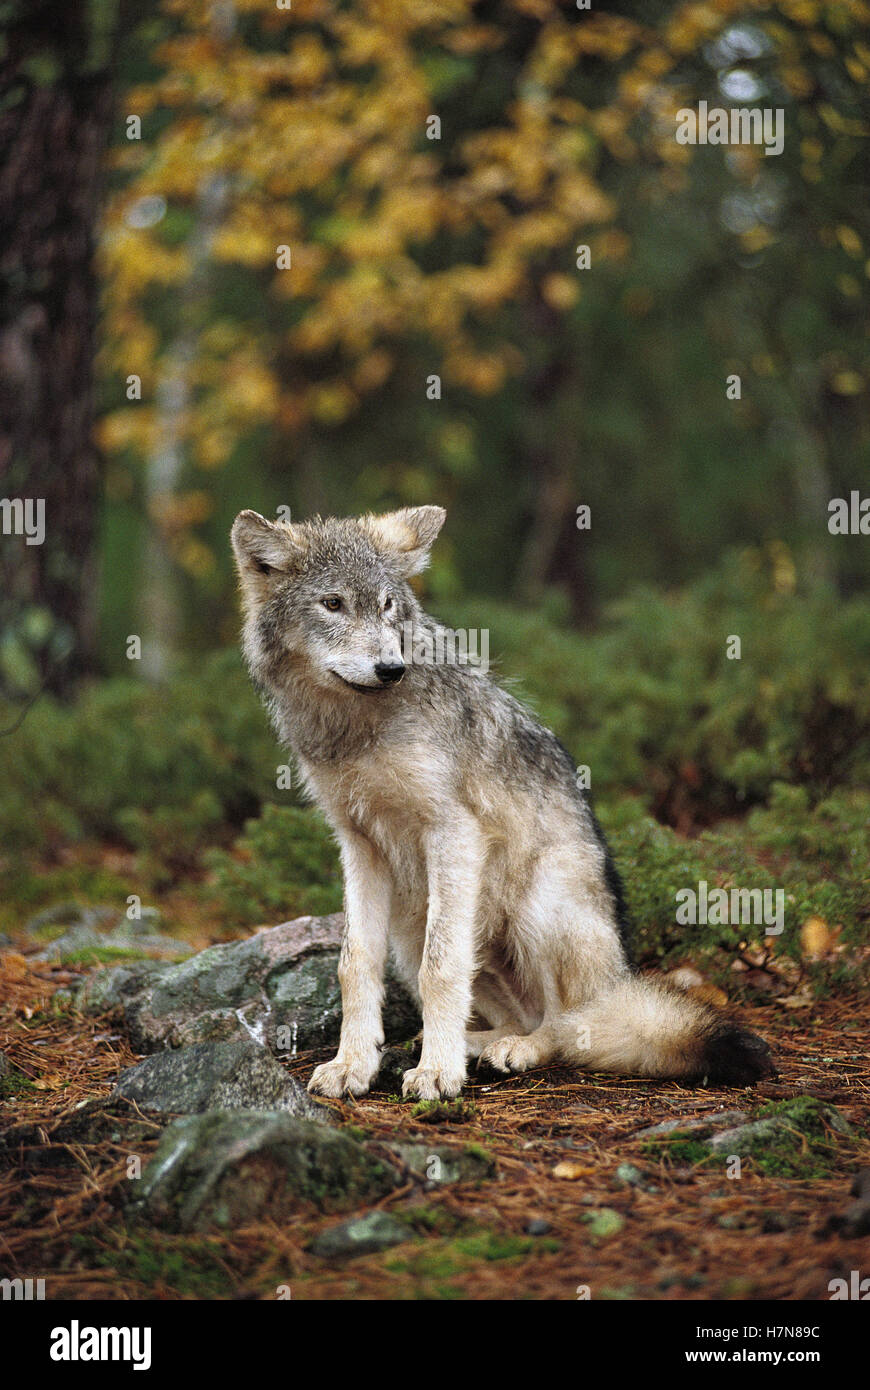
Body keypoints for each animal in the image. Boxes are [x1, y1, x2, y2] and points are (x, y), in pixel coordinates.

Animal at [231, 505, 775, 1101]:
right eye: (332, 604)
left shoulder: (453, 832)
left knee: (565, 1026)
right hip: (410, 925)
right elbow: (354, 965)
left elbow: (441, 968)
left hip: (537, 902)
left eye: (388, 605)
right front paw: (354, 1064)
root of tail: (618, 981)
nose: (391, 669)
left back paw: (508, 1051)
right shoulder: (359, 843)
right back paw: (462, 1045)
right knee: (515, 1013)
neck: (355, 727)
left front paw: (437, 1074)